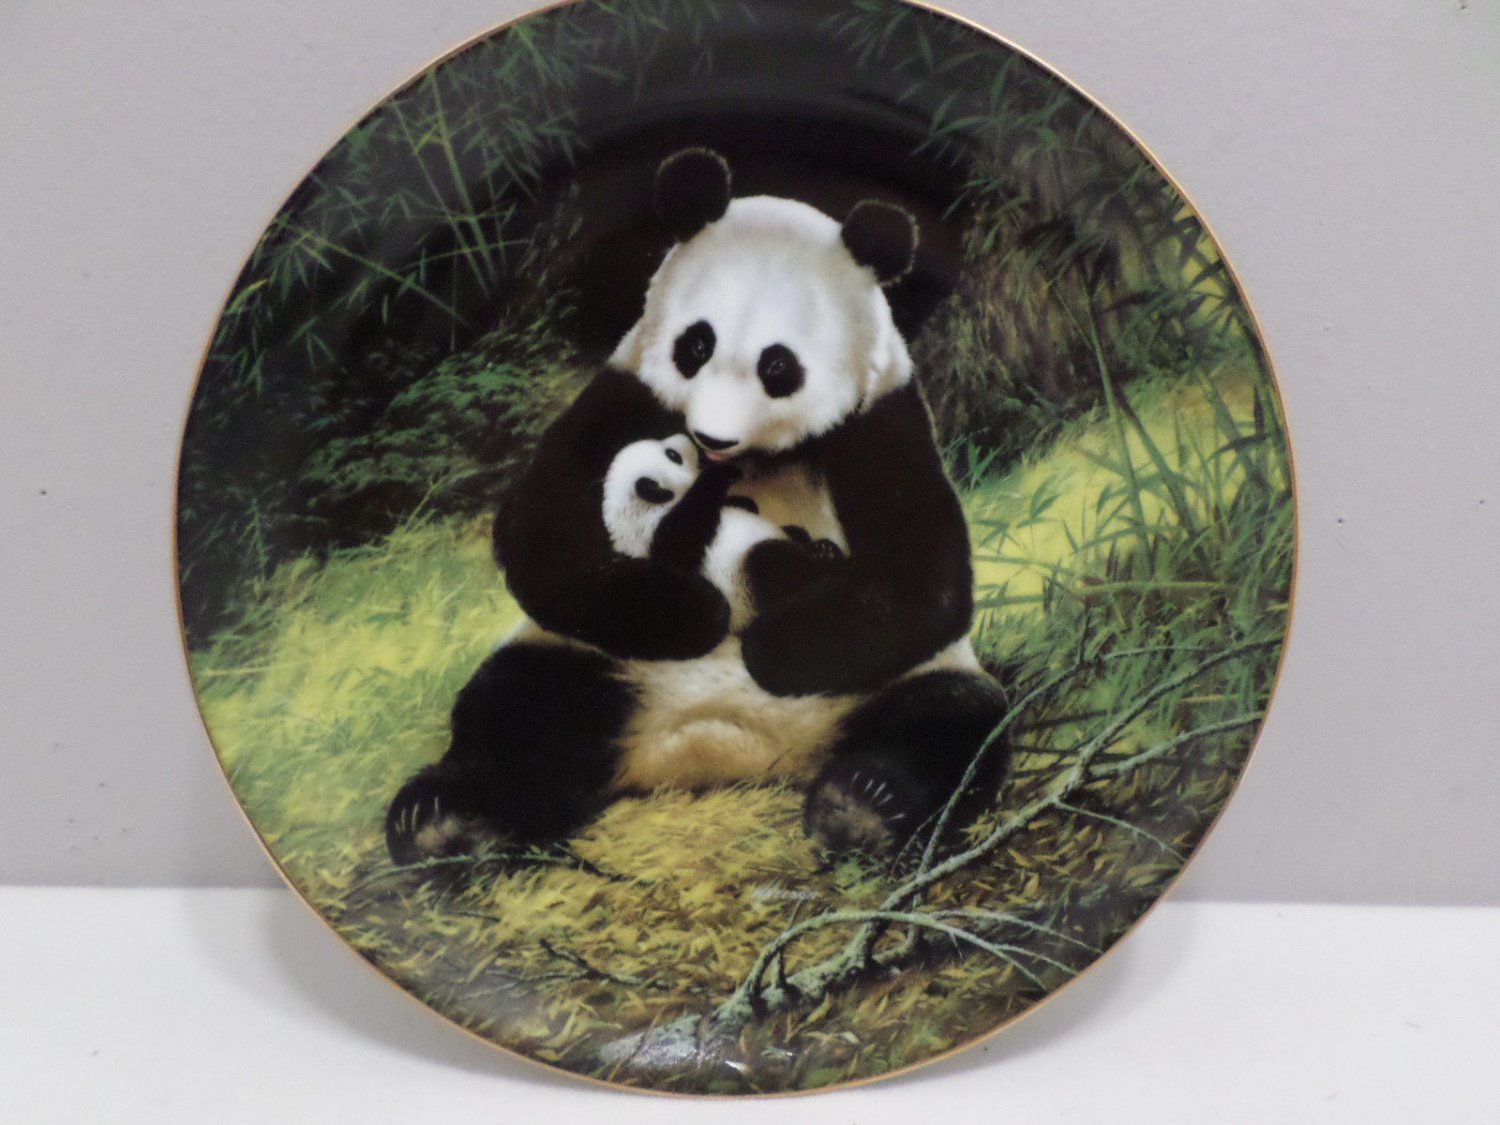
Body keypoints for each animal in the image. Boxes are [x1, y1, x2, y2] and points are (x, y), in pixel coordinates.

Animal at [384, 148, 1011, 865]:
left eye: (778, 366)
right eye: (696, 345)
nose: (711, 437)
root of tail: (714, 748)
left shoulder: (882, 419)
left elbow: (925, 577)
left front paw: (767, 649)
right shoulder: (627, 391)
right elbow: (541, 537)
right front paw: (697, 614)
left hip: (887, 682)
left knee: (951, 717)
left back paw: (863, 804)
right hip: (596, 660)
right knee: (518, 707)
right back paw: (445, 819)